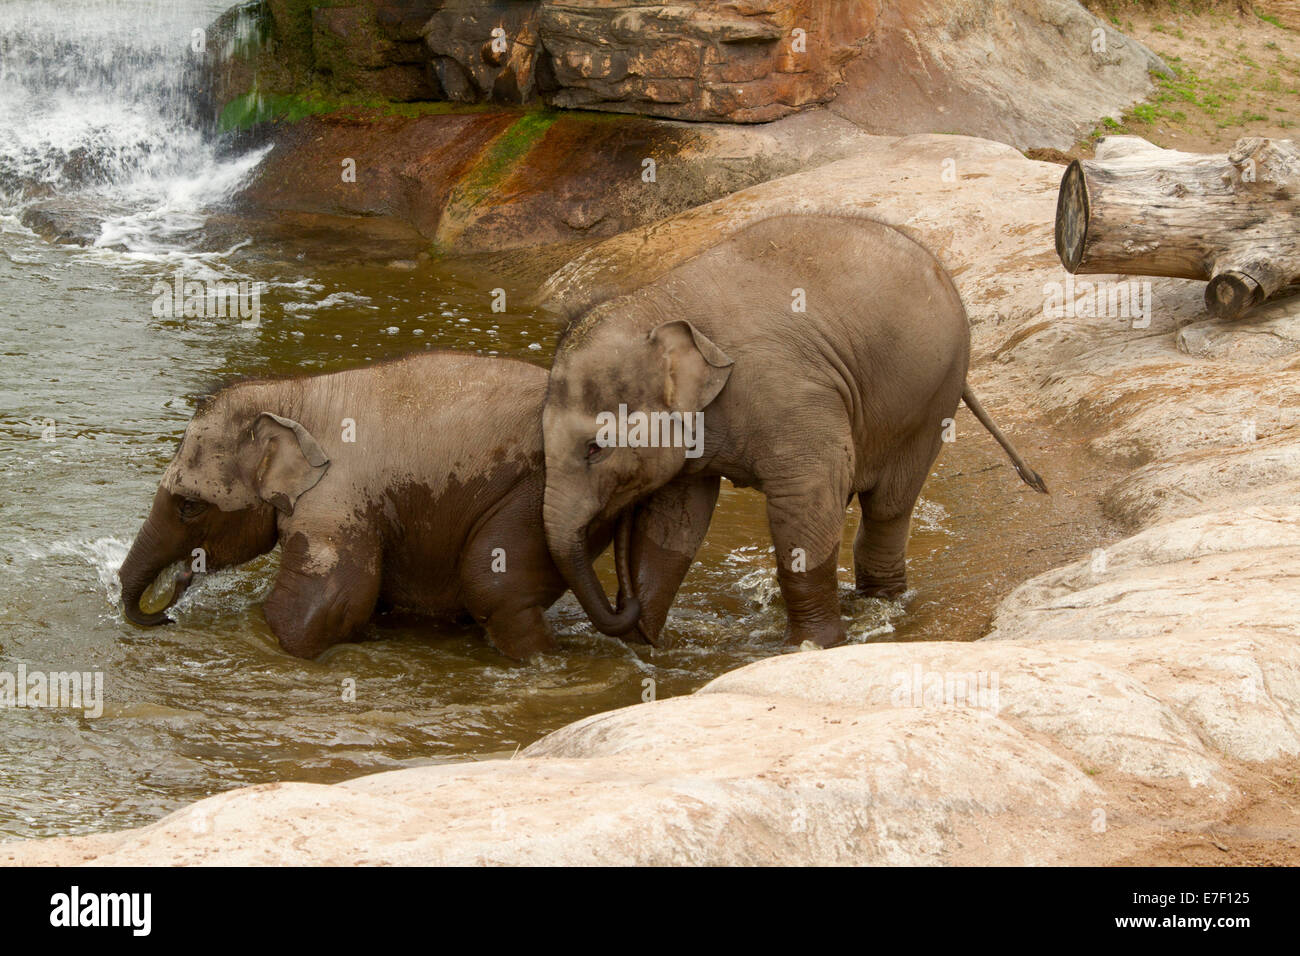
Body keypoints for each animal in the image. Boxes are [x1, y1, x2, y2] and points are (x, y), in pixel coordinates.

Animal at [118, 352, 625, 660]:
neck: (292, 393)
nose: (168, 608)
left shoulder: (335, 499)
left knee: (495, 588)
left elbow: (321, 609)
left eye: (189, 505)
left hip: (548, 493)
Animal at [540, 211, 1047, 650]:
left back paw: (882, 606)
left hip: (931, 395)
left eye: (594, 449)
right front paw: (643, 646)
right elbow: (674, 523)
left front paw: (810, 646)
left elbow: (807, 500)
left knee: (888, 506)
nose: (628, 612)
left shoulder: (788, 394)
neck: (658, 303)